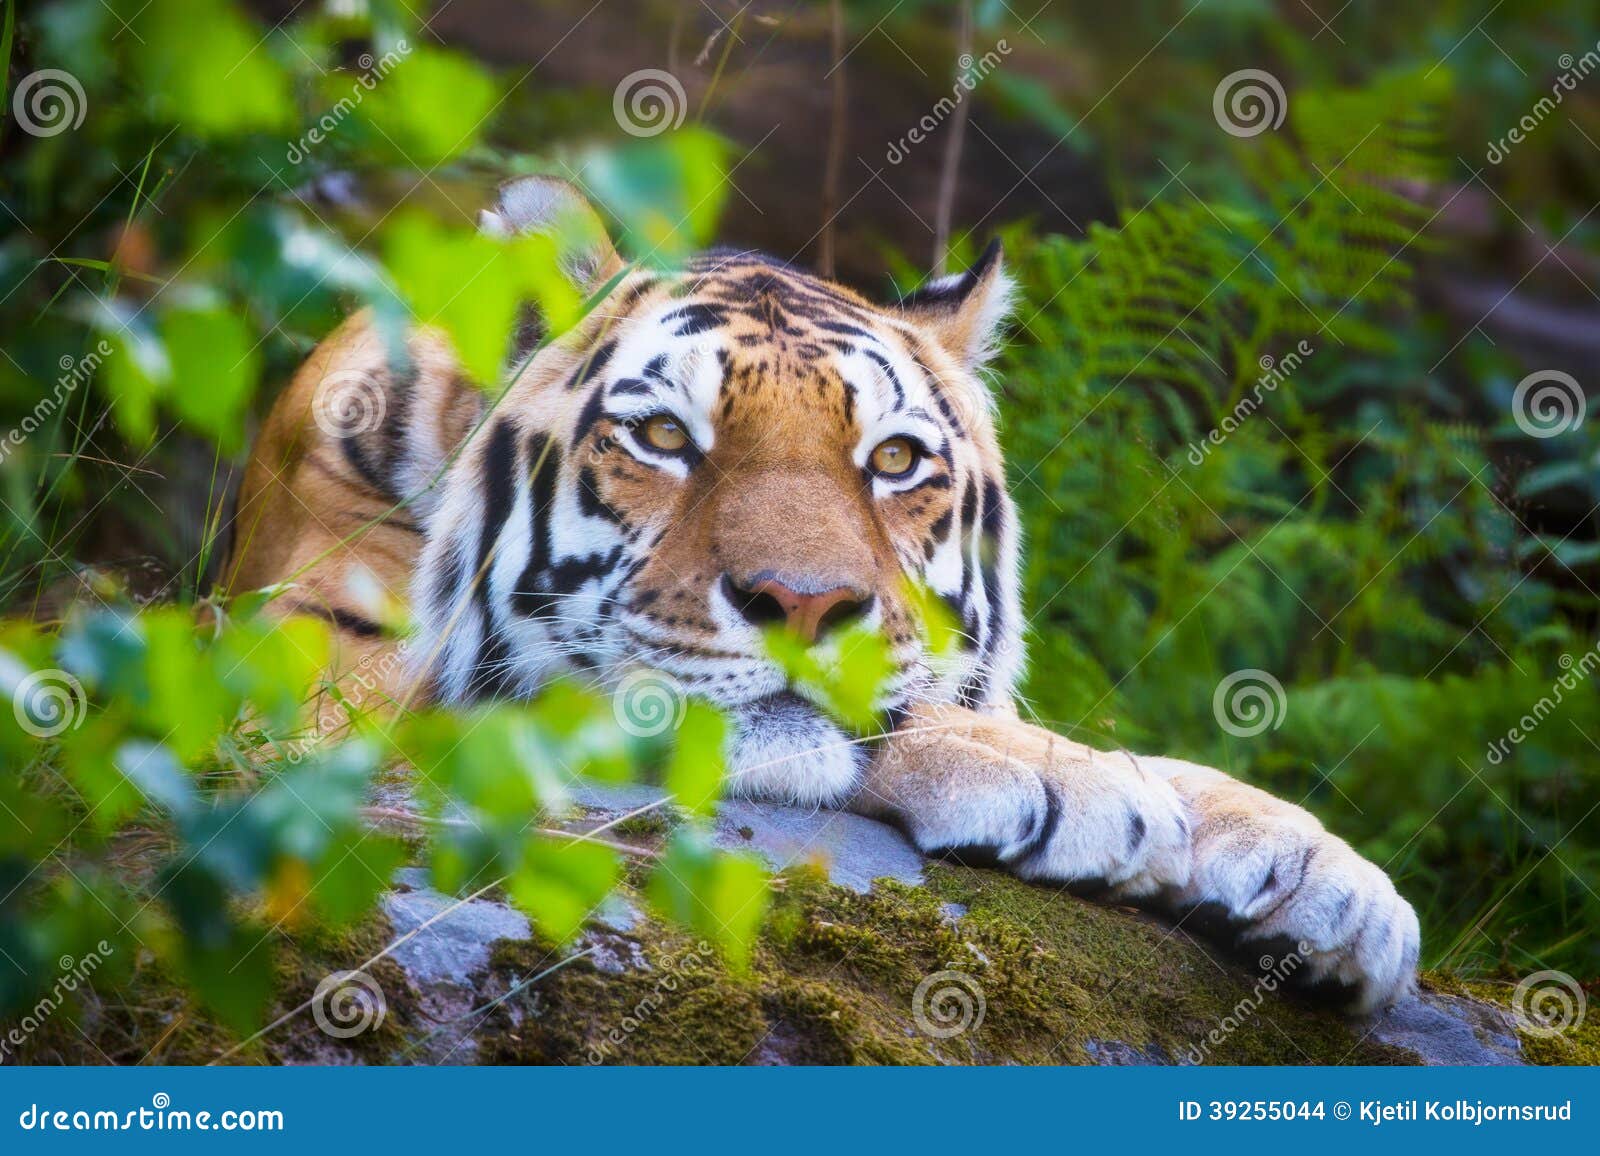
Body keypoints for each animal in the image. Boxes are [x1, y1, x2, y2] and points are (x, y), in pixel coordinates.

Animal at [224, 176, 1420, 1013]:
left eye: (894, 460)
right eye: (664, 437)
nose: (804, 605)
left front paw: (1326, 873)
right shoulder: (318, 694)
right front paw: (1063, 781)